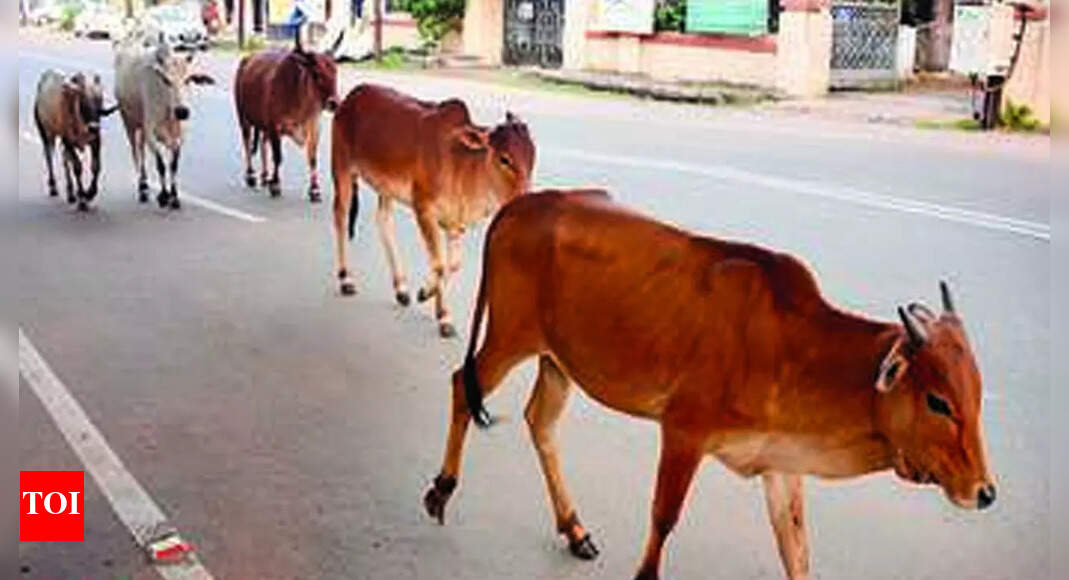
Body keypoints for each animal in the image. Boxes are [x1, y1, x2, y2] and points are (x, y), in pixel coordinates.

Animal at [33, 70, 117, 211]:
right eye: (83, 101)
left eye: (99, 100)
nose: (93, 127)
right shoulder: (67, 140)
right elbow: (77, 167)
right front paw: (82, 197)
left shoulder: (96, 140)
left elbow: (96, 166)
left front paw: (90, 193)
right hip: (46, 133)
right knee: (49, 155)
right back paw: (53, 186)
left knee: (64, 159)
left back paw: (71, 192)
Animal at [113, 34, 214, 210]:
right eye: (166, 80)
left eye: (189, 79)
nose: (182, 111)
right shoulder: (151, 132)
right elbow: (160, 165)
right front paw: (164, 196)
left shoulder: (180, 137)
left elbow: (173, 165)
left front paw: (174, 197)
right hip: (128, 121)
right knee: (136, 153)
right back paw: (142, 188)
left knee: (141, 149)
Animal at [234, 29, 343, 202]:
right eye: (316, 73)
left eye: (335, 71)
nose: (334, 103)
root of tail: (247, 59)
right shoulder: (275, 126)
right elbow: (278, 156)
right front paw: (276, 185)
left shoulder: (314, 127)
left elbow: (312, 158)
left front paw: (314, 190)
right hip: (243, 118)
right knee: (247, 142)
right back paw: (251, 175)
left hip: (263, 126)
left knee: (263, 143)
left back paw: (265, 176)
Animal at [330, 84, 536, 337]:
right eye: (505, 159)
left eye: (533, 157)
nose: (524, 199)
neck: (460, 163)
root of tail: (349, 99)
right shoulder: (424, 210)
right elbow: (438, 264)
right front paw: (435, 306)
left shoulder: (456, 223)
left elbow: (452, 265)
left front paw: (435, 305)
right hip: (342, 168)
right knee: (340, 215)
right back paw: (346, 279)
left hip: (385, 188)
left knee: (384, 223)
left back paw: (401, 288)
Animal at [422, 190, 996, 580]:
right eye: (939, 401)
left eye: (977, 395)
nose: (985, 492)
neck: (791, 348)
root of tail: (524, 203)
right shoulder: (683, 431)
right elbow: (663, 518)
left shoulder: (780, 463)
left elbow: (797, 550)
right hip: (510, 337)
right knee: (459, 385)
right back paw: (441, 491)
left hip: (556, 361)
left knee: (539, 422)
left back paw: (576, 529)